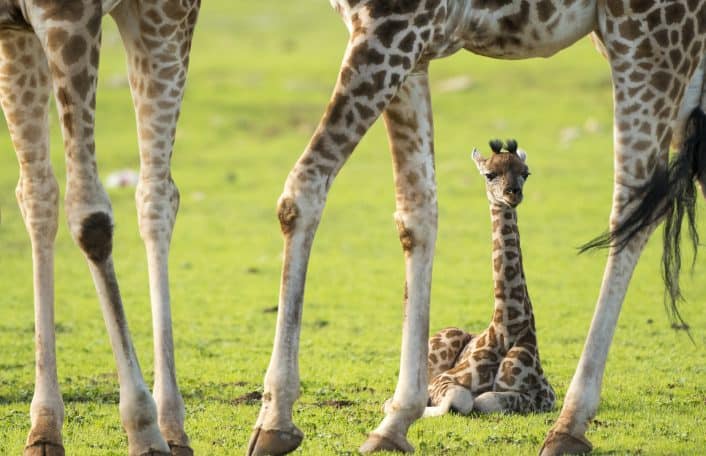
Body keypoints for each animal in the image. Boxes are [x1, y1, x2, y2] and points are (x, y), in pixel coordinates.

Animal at [0, 1, 199, 455]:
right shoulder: (9, 33)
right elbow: (40, 195)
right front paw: (43, 428)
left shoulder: (70, 14)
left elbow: (89, 217)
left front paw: (143, 430)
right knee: (39, 193)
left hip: (164, 15)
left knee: (156, 192)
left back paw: (170, 426)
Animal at [423, 139, 555, 418]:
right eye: (489, 174)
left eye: (526, 173)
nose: (513, 194)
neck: (508, 328)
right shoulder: (443, 379)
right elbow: (463, 398)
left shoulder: (546, 394)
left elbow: (487, 399)